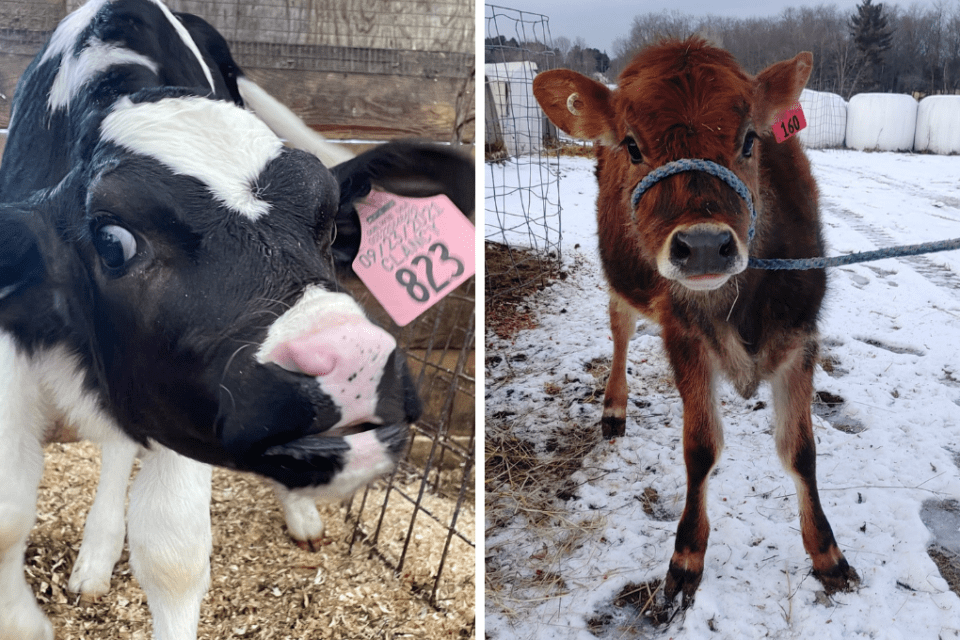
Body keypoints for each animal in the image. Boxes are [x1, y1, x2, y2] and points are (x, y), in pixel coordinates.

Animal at [0, 0, 471, 638]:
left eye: (329, 223)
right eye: (114, 241)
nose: (353, 360)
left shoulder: (182, 407)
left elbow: (172, 551)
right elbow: (8, 515)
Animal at [532, 38, 860, 614]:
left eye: (750, 138)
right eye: (632, 145)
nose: (705, 245)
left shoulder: (800, 339)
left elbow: (801, 451)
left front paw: (827, 553)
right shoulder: (683, 338)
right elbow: (701, 448)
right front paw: (686, 558)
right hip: (622, 282)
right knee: (620, 331)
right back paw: (613, 409)